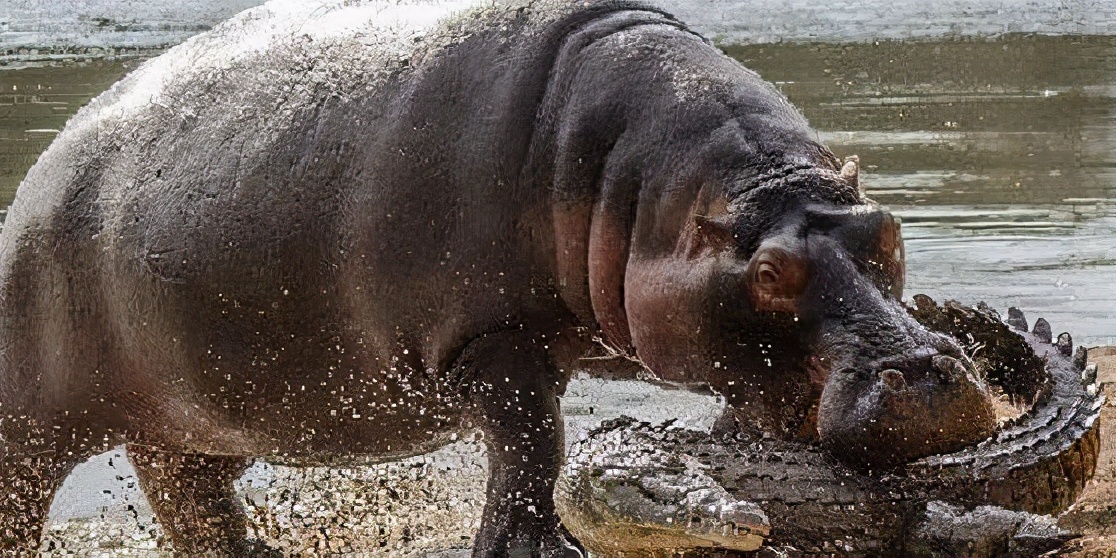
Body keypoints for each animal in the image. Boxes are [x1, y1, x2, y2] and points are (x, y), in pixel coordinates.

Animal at [0, 0, 995, 555]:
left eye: (889, 231)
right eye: (774, 273)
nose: (931, 373)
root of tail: (38, 176)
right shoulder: (488, 341)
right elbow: (530, 443)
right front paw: (535, 547)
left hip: (191, 427)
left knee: (195, 506)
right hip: (34, 424)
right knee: (31, 496)